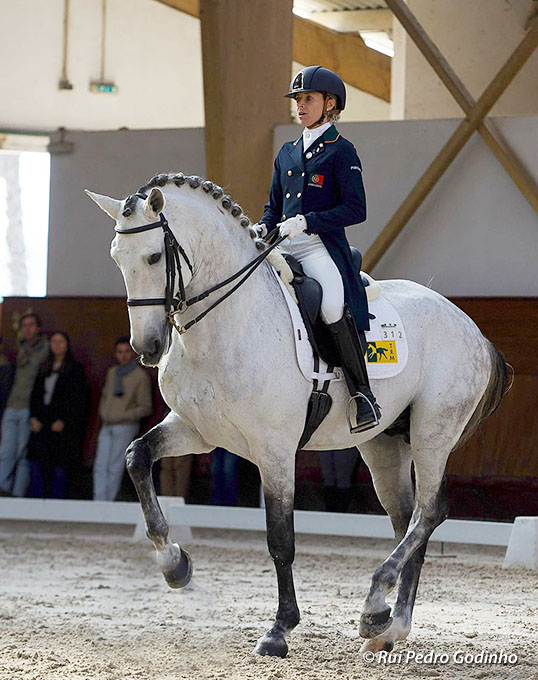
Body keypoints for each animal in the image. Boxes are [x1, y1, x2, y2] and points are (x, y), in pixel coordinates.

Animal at [86, 173, 509, 658]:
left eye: (155, 256)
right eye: (117, 258)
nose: (147, 347)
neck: (226, 324)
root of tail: (470, 325)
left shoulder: (274, 450)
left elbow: (280, 539)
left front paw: (279, 629)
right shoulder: (197, 430)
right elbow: (137, 457)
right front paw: (174, 563)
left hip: (433, 431)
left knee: (430, 512)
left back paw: (374, 602)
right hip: (384, 444)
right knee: (407, 518)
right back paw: (390, 625)